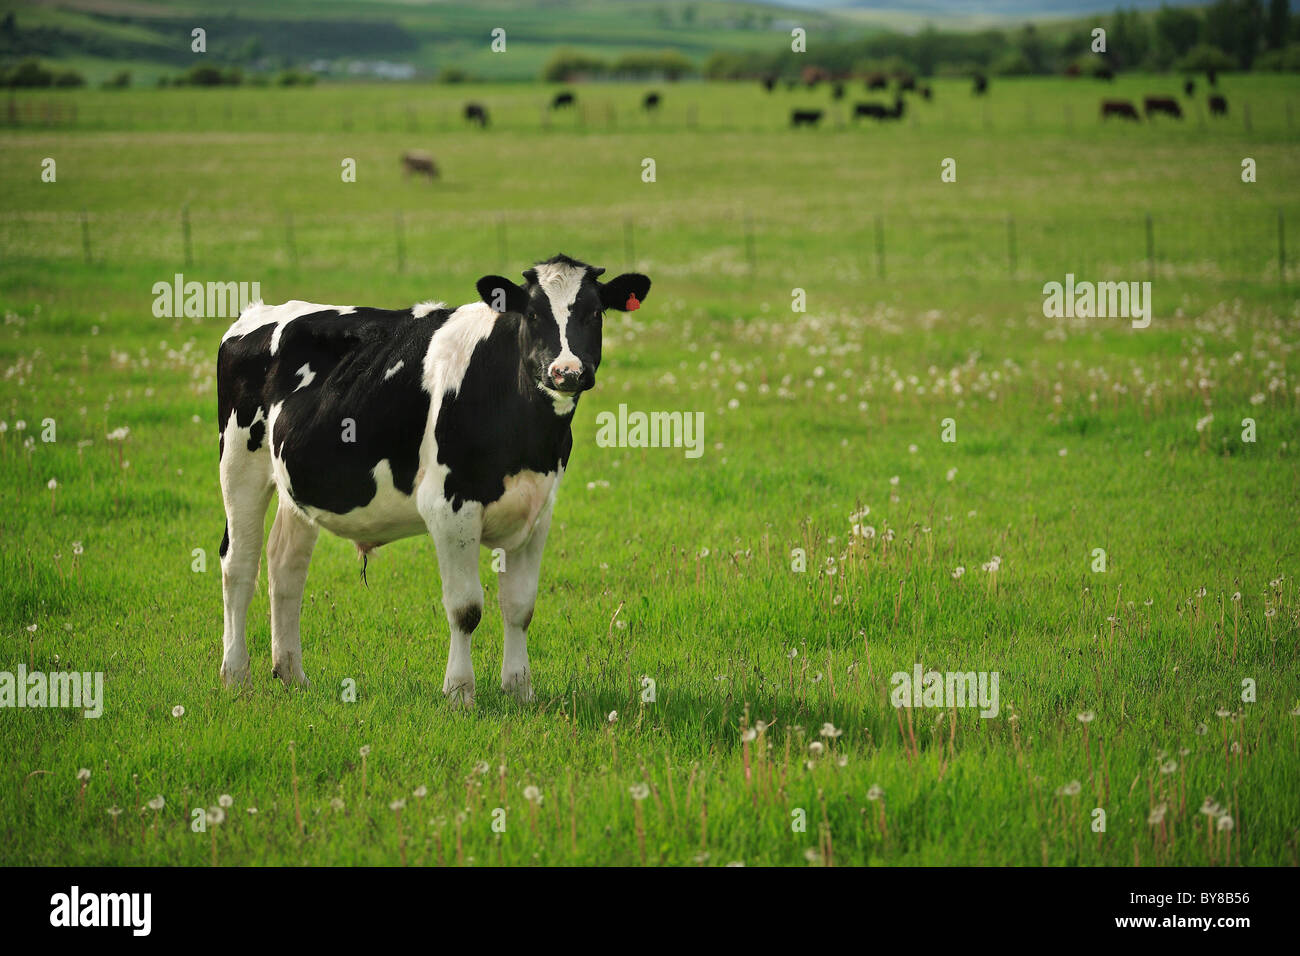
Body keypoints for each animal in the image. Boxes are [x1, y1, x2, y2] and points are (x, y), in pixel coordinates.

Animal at [215, 255, 652, 707]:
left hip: (295, 483)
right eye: (532, 314)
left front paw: (519, 690)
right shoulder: (449, 506)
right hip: (240, 463)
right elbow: (466, 608)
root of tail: (259, 313)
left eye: (595, 312)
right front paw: (459, 693)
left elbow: (520, 606)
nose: (566, 373)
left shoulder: (537, 509)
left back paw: (292, 675)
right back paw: (236, 675)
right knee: (238, 565)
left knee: (286, 565)